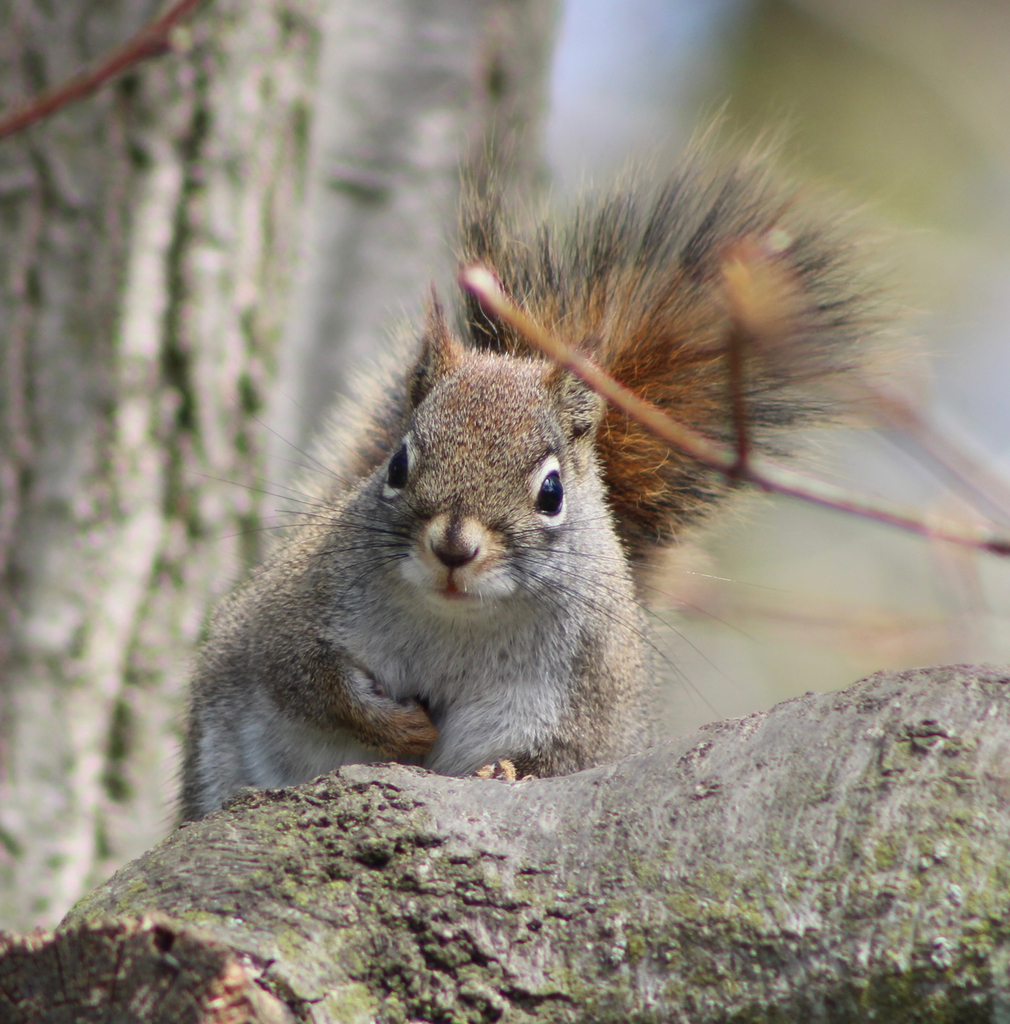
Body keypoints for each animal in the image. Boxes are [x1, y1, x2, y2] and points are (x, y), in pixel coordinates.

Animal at [180, 148, 882, 820]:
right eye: (397, 465)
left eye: (552, 492)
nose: (454, 549)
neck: (458, 622)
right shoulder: (294, 615)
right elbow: (309, 680)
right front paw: (400, 728)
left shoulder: (582, 695)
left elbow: (550, 758)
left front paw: (503, 771)